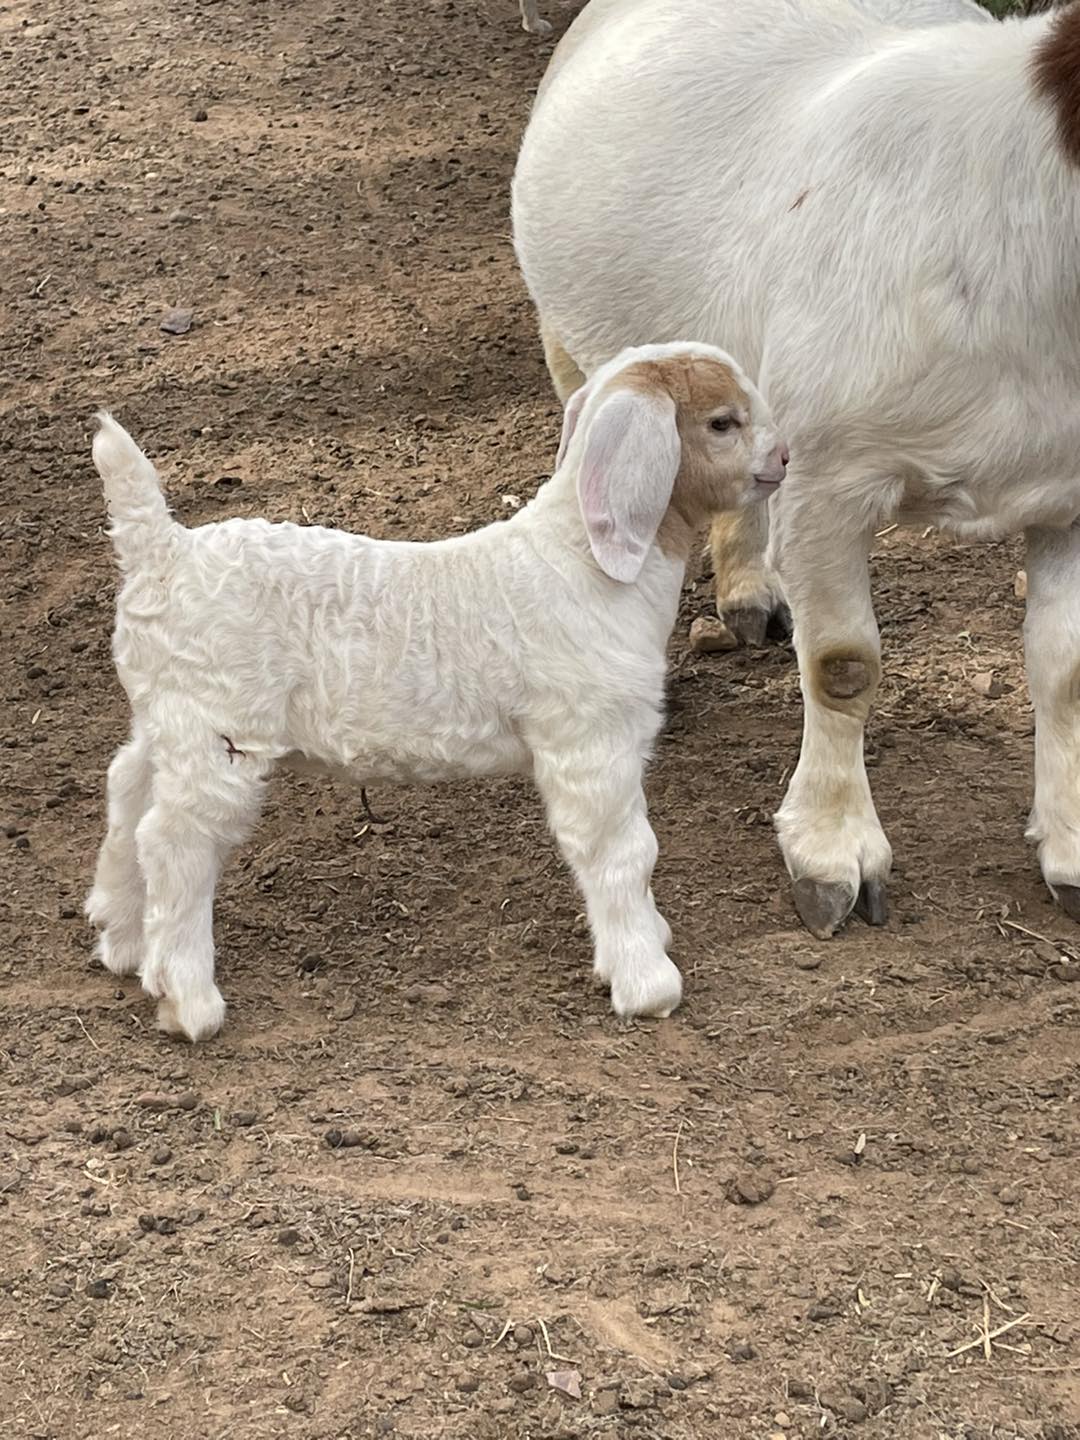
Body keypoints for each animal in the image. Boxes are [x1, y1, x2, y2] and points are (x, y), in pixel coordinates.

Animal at [85, 343, 786, 1041]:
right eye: (723, 422)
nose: (782, 458)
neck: (586, 564)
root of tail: (164, 552)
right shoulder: (591, 743)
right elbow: (624, 851)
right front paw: (646, 981)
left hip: (168, 712)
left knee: (127, 792)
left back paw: (122, 941)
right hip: (221, 726)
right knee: (174, 841)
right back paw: (187, 999)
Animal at [512, 0, 1080, 940]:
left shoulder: (1069, 494)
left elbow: (1064, 669)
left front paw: (1069, 849)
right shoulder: (831, 480)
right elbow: (844, 666)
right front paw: (832, 855)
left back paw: (748, 591)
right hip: (577, 344)